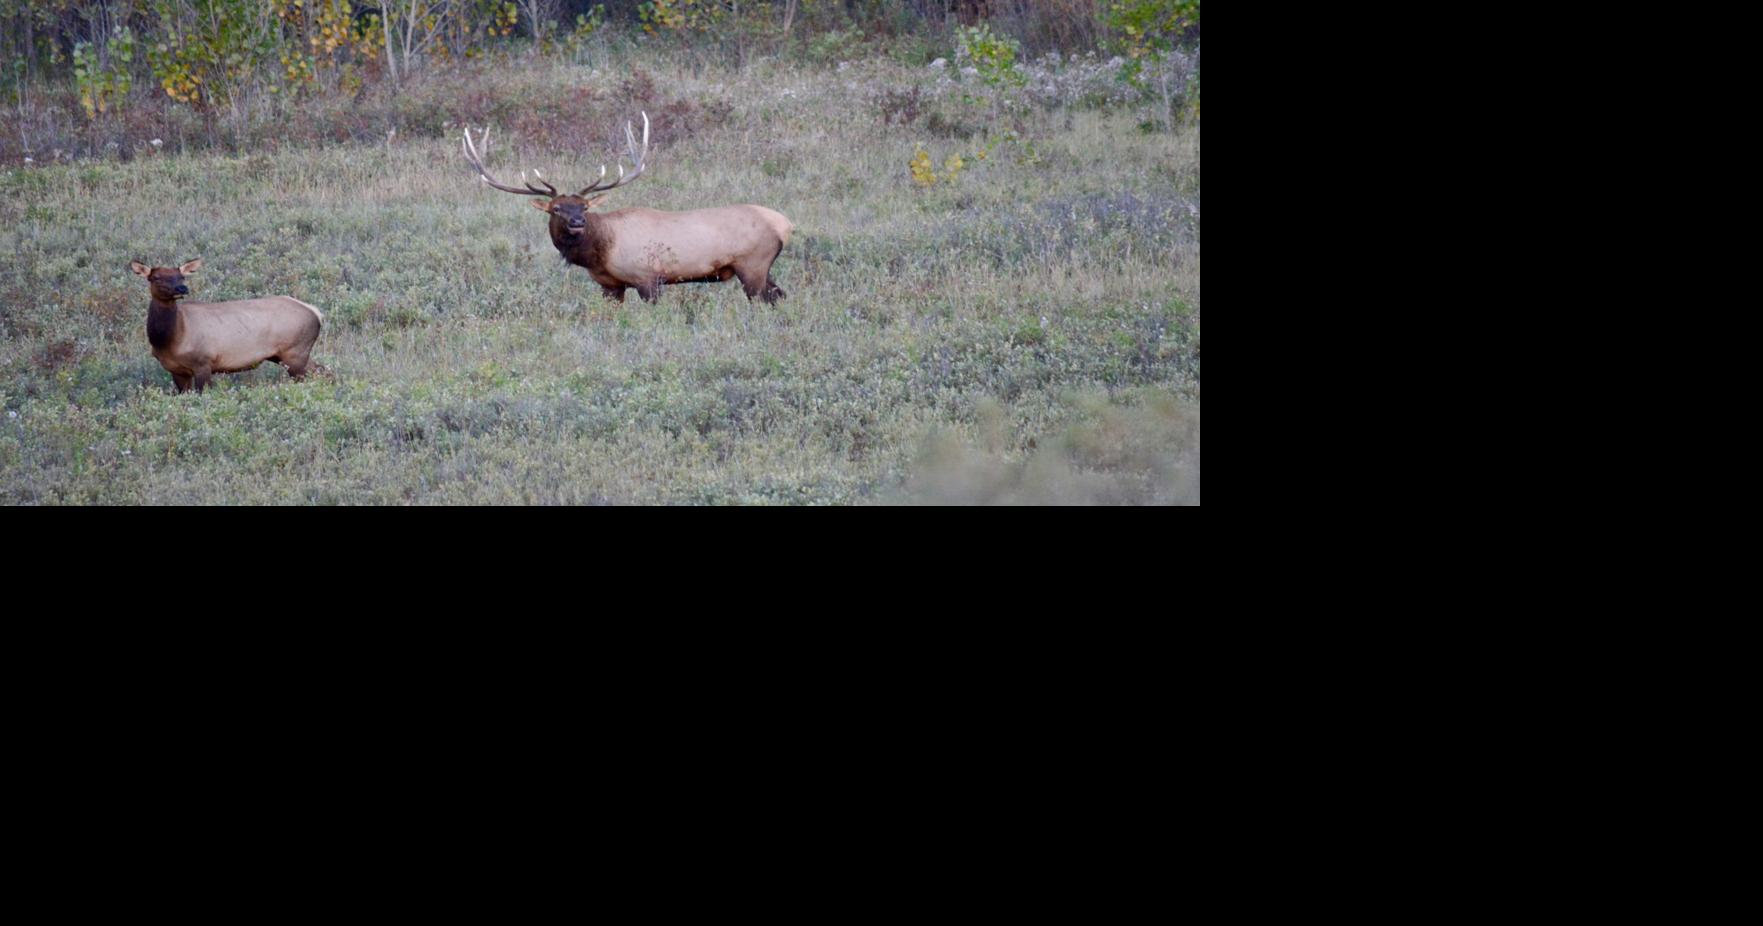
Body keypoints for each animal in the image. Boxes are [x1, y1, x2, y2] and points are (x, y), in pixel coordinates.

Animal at [129, 259, 324, 393]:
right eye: (155, 277)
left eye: (181, 276)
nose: (182, 288)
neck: (169, 339)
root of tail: (316, 313)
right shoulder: (177, 370)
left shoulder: (204, 363)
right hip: (284, 356)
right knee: (322, 371)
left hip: (295, 353)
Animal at [462, 113, 794, 305]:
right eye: (556, 209)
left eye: (584, 206)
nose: (577, 222)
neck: (600, 251)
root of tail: (786, 224)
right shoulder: (610, 287)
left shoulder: (648, 278)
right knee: (780, 295)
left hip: (752, 264)